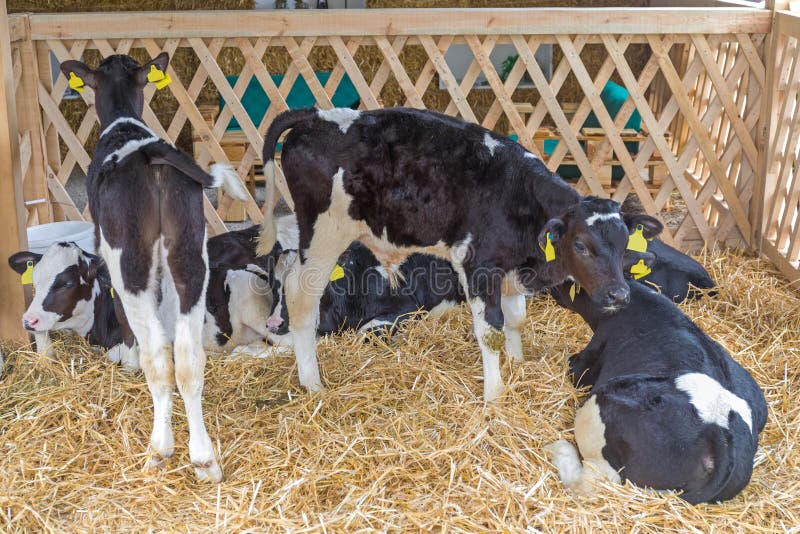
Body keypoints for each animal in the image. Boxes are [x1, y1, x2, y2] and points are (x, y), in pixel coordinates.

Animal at [59, 53, 250, 482]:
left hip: (129, 259)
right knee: (188, 357)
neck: (124, 121)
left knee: (160, 358)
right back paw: (205, 459)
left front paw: (127, 360)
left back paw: (159, 450)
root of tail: (152, 155)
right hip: (190, 256)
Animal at [256, 107, 662, 401]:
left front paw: (517, 364)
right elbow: (491, 330)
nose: (619, 295)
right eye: (581, 245)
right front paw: (495, 395)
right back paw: (312, 383)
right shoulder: (478, 264)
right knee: (300, 298)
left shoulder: (510, 270)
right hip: (323, 234)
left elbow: (515, 321)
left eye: (624, 243)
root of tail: (315, 115)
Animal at [545, 280, 767, 504]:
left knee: (588, 483)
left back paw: (555, 449)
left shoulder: (594, 350)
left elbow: (576, 369)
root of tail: (721, 435)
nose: (551, 288)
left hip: (599, 411)